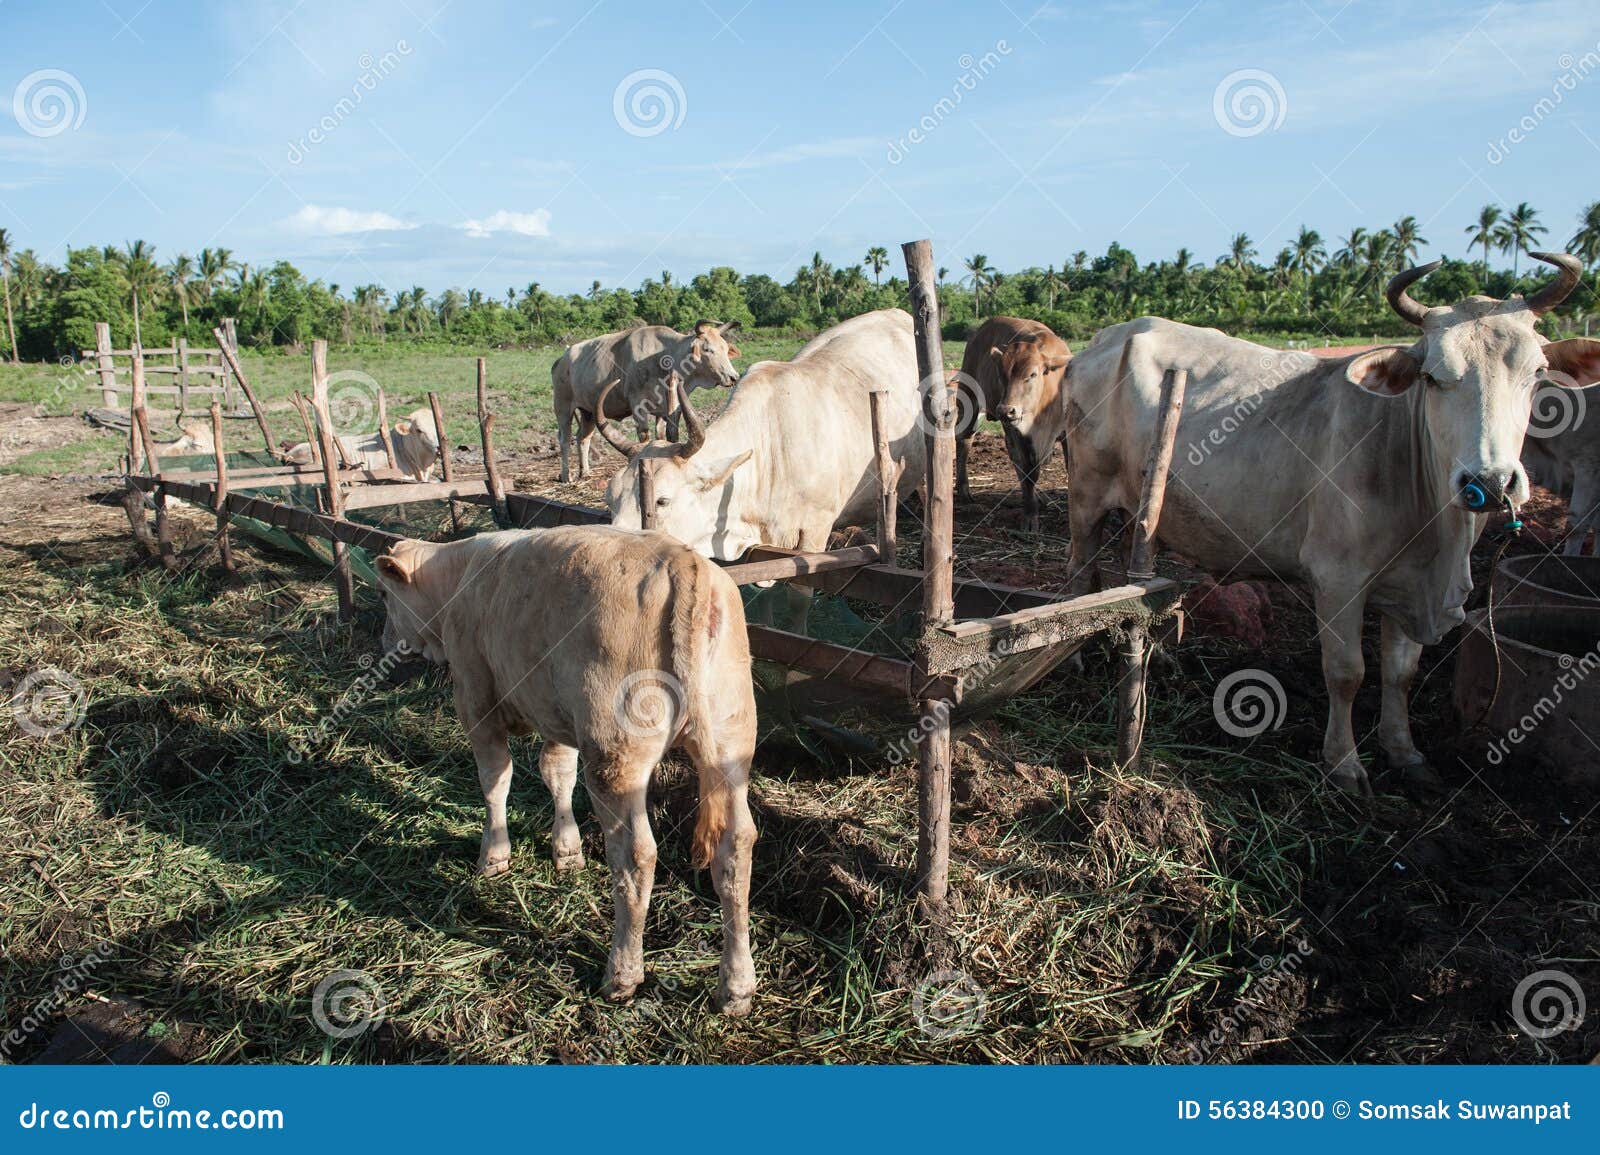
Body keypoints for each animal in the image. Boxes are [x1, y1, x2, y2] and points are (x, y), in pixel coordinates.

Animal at [373, 526, 759, 1015]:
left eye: (384, 595)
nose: (386, 642)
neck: (457, 579)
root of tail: (681, 560)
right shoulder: (555, 714)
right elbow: (558, 773)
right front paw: (567, 849)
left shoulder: (476, 702)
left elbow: (495, 781)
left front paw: (493, 855)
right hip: (730, 747)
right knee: (737, 848)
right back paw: (736, 987)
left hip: (616, 755)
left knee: (635, 855)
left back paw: (622, 974)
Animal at [553, 321, 742, 483]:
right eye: (708, 349)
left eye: (726, 348)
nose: (733, 377)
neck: (664, 357)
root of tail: (561, 359)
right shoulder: (638, 406)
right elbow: (644, 437)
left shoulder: (670, 410)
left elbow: (666, 435)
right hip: (562, 407)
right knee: (565, 439)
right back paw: (566, 476)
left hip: (589, 412)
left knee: (583, 438)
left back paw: (584, 472)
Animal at [954, 316, 1072, 533]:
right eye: (1001, 374)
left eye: (1032, 374)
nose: (1005, 410)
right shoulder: (1020, 432)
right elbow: (1029, 471)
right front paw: (1030, 516)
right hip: (970, 400)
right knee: (964, 441)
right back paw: (964, 489)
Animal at [1063, 253, 1600, 796]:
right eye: (1432, 378)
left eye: (1537, 373)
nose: (1489, 481)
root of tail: (1103, 340)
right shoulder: (1338, 579)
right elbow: (1347, 672)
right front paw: (1344, 763)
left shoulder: (1409, 584)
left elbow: (1400, 674)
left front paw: (1404, 751)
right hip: (1086, 497)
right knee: (1079, 571)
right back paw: (1074, 658)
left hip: (1140, 507)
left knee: (1133, 574)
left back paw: (1155, 656)